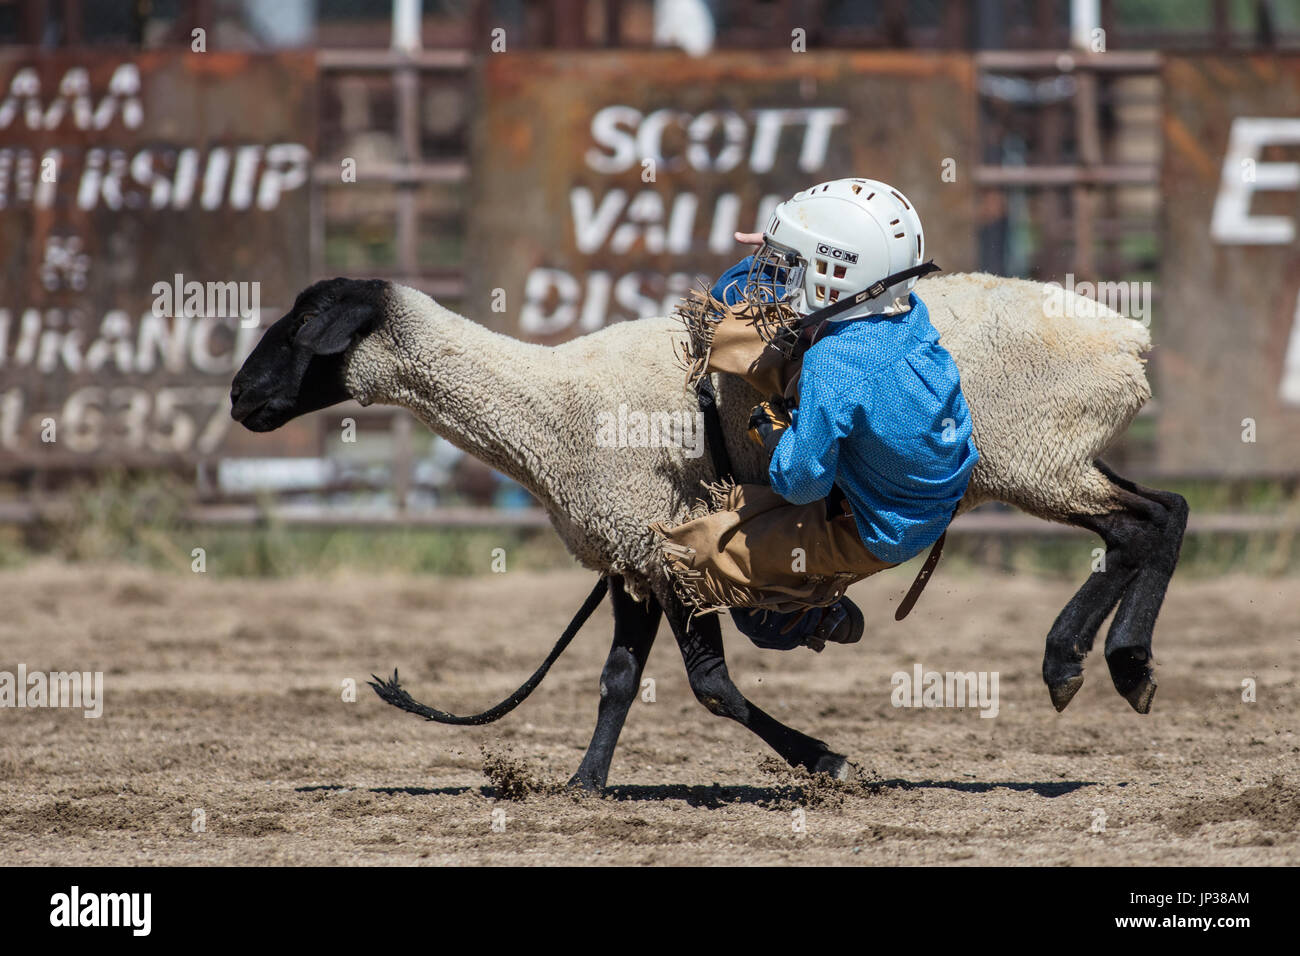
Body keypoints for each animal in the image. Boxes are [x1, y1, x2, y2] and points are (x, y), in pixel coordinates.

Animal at [230, 273, 1188, 791]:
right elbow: (619, 680)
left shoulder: (671, 548)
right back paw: (1113, 663)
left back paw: (1089, 662)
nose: (240, 398)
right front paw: (585, 784)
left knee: (1137, 525)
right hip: (1057, 455)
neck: (541, 405)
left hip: (1034, 457)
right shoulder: (635, 553)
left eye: (304, 325)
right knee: (1161, 514)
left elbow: (711, 689)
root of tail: (1130, 341)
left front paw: (827, 762)